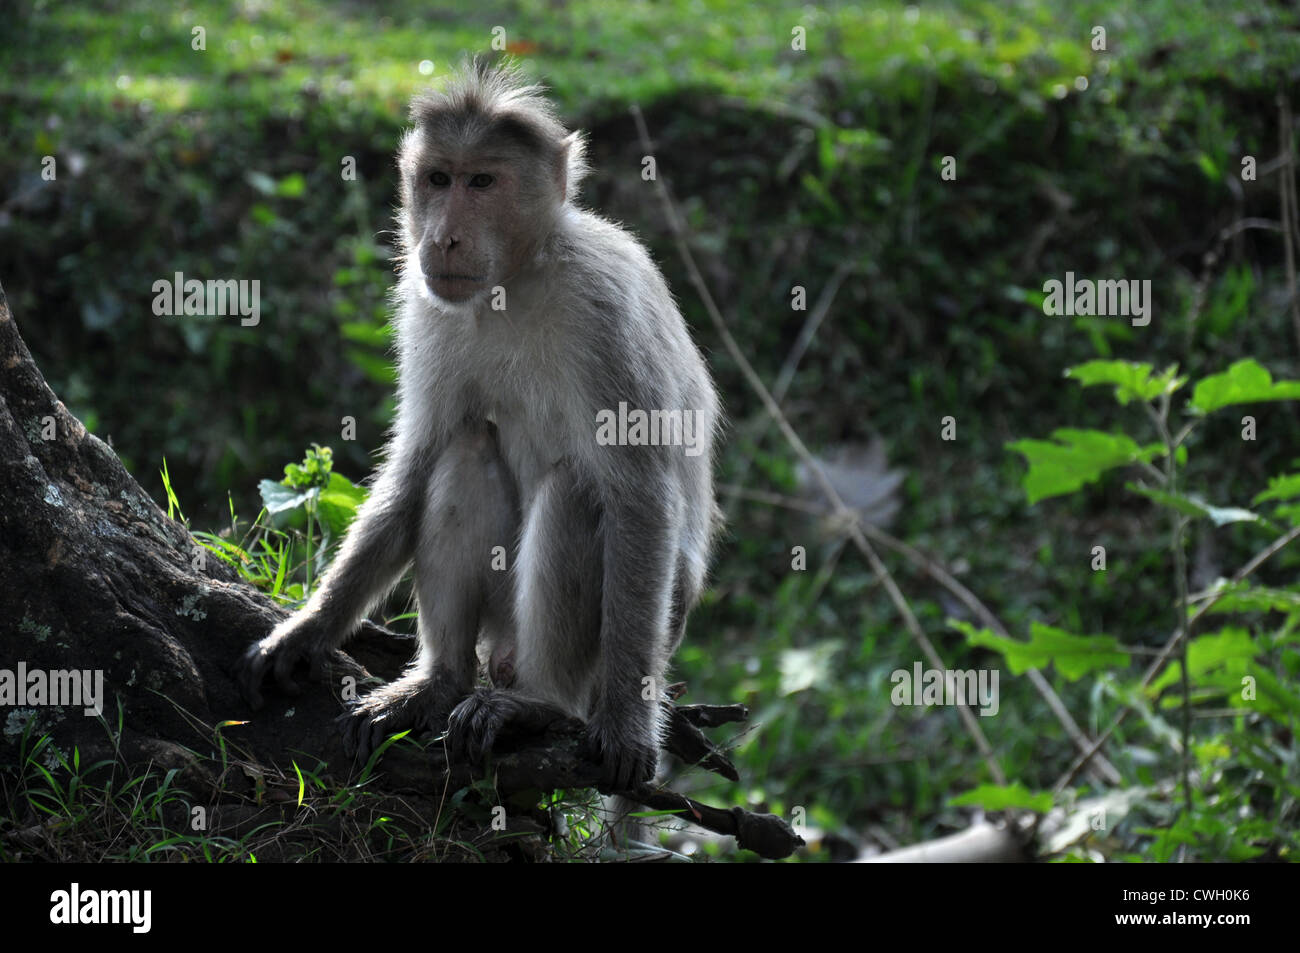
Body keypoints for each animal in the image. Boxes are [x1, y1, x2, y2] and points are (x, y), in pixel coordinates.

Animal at [236, 58, 721, 796]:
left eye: (483, 183)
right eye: (439, 179)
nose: (443, 237)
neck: (514, 280)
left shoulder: (604, 310)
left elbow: (638, 497)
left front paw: (628, 728)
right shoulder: (426, 305)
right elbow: (420, 456)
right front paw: (312, 627)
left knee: (578, 491)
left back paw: (540, 704)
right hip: (498, 624)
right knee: (464, 449)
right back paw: (441, 681)